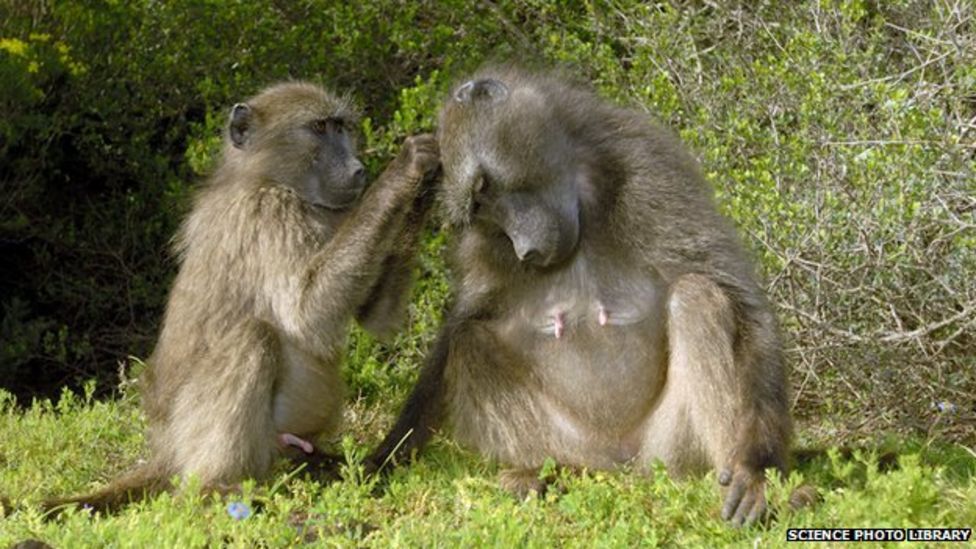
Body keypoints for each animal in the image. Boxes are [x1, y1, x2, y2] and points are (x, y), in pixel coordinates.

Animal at [40, 81, 440, 514]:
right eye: (318, 127)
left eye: (341, 127)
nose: (358, 169)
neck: (271, 180)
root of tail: (163, 451)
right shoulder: (268, 212)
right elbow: (307, 313)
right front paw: (406, 166)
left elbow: (375, 317)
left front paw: (428, 180)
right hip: (194, 432)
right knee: (254, 337)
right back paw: (213, 486)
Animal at [367, 65, 793, 526]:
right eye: (480, 205)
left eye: (486, 186)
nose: (526, 252)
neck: (577, 181)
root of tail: (618, 465)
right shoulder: (484, 247)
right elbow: (459, 325)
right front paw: (385, 456)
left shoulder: (647, 167)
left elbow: (738, 294)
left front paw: (755, 470)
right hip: (573, 443)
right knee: (469, 340)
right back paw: (540, 476)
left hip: (665, 454)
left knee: (696, 295)